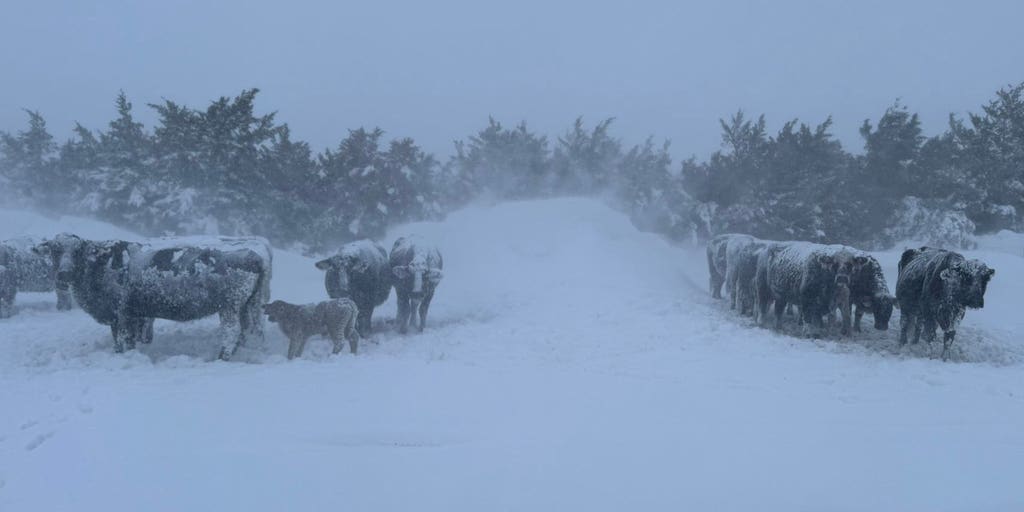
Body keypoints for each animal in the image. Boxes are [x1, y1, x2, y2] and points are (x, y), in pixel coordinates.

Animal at [37, 234, 272, 360]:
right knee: (251, 330)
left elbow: (122, 339)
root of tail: (256, 253)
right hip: (248, 306)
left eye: (79, 250)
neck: (103, 264)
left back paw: (221, 357)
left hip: (229, 307)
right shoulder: (134, 316)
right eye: (55, 250)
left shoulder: (122, 314)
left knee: (232, 332)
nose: (64, 273)